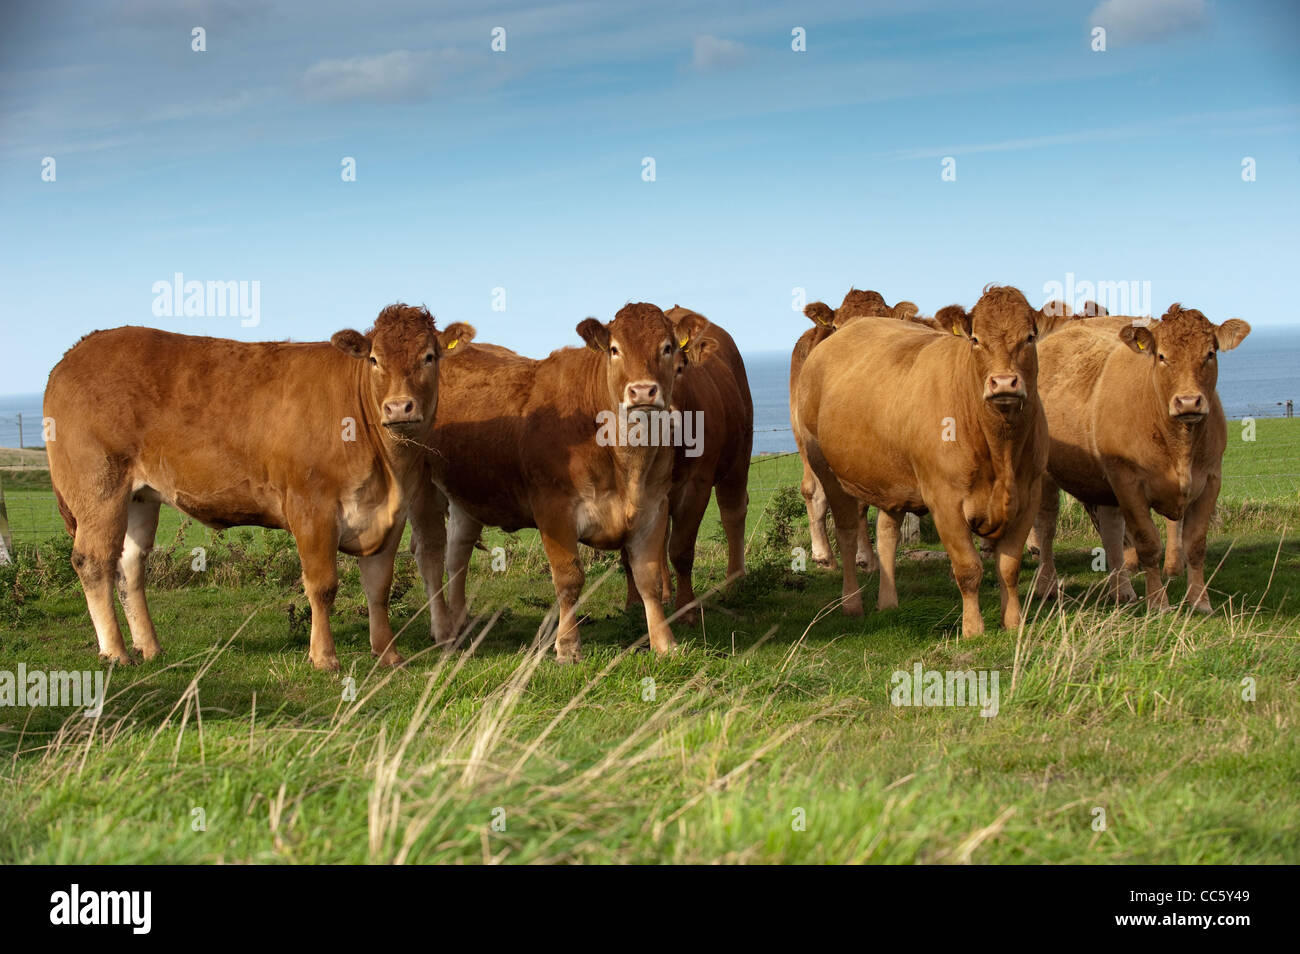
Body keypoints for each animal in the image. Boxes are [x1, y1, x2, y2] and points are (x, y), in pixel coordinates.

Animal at [43, 305, 472, 670]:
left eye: (429, 357)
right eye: (374, 360)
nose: (399, 407)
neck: (388, 465)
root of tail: (79, 350)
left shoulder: (391, 515)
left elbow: (379, 586)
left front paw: (388, 654)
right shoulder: (311, 508)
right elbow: (322, 586)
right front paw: (324, 657)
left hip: (138, 497)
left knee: (130, 565)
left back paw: (149, 647)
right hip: (99, 488)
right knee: (93, 561)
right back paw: (115, 653)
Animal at [413, 302, 702, 662]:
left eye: (667, 348)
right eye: (615, 349)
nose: (642, 391)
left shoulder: (653, 507)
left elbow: (648, 578)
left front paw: (665, 643)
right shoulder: (553, 510)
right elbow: (569, 579)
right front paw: (567, 645)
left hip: (467, 497)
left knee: (457, 557)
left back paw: (459, 621)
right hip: (424, 489)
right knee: (429, 556)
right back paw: (442, 631)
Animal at [1031, 304, 1250, 612]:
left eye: (1210, 353)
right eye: (1162, 356)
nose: (1188, 401)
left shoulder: (1210, 480)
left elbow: (1195, 545)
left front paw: (1199, 601)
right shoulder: (1129, 482)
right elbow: (1148, 544)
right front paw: (1158, 602)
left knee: (1111, 533)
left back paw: (1122, 591)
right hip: (1046, 474)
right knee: (1047, 527)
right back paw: (1047, 586)